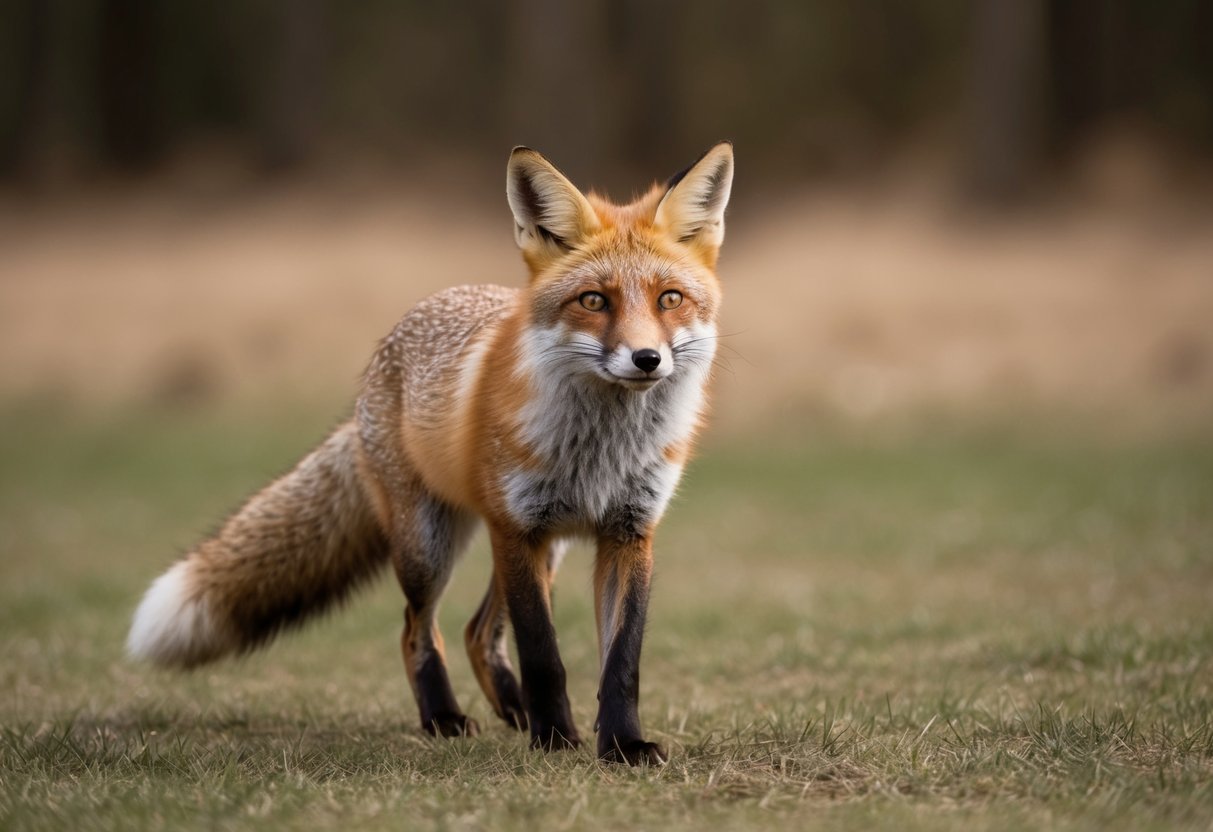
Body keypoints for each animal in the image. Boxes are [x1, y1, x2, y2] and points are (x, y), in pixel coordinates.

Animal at [127, 142, 734, 766]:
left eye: (669, 299)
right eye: (594, 300)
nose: (646, 359)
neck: (601, 451)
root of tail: (387, 348)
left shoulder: (628, 532)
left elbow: (622, 661)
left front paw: (621, 745)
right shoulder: (517, 529)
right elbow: (543, 654)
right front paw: (554, 739)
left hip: (543, 548)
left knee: (476, 631)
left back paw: (511, 708)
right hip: (431, 545)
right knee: (416, 627)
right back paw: (444, 716)